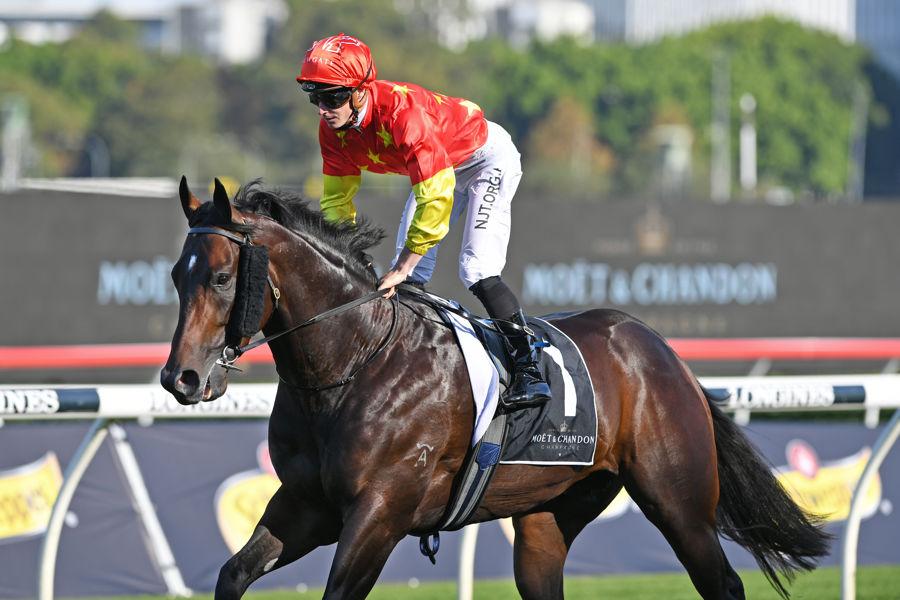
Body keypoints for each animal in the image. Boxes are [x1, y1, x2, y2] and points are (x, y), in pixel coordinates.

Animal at [161, 177, 829, 599]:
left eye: (221, 277)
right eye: (174, 275)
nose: (179, 378)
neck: (353, 361)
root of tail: (662, 351)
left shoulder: (380, 512)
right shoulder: (307, 504)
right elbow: (232, 575)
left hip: (679, 500)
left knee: (724, 582)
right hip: (551, 513)